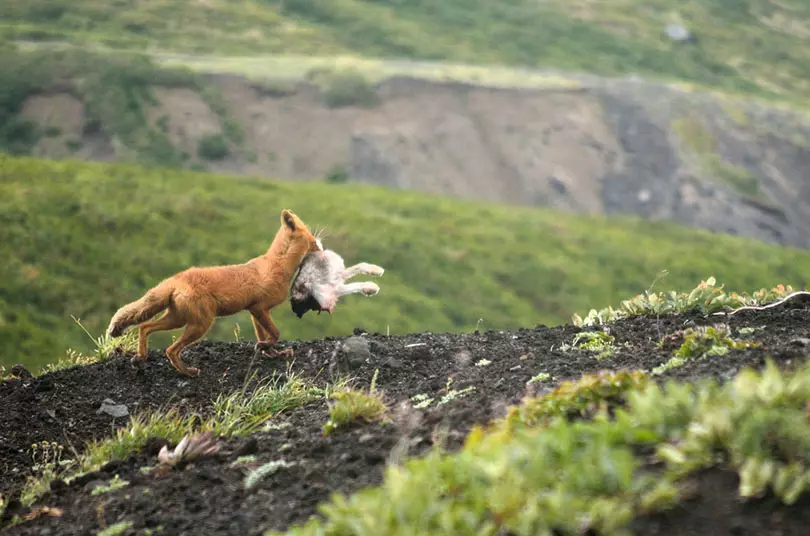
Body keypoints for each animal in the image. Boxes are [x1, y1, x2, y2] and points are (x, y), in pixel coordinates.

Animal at [106, 209, 322, 376]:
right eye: (313, 240)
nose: (321, 249)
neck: (278, 266)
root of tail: (176, 279)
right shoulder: (259, 308)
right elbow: (275, 333)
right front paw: (266, 347)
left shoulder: (254, 311)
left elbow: (263, 335)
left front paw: (269, 352)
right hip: (201, 323)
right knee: (170, 350)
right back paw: (187, 372)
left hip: (178, 319)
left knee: (144, 327)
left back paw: (140, 357)